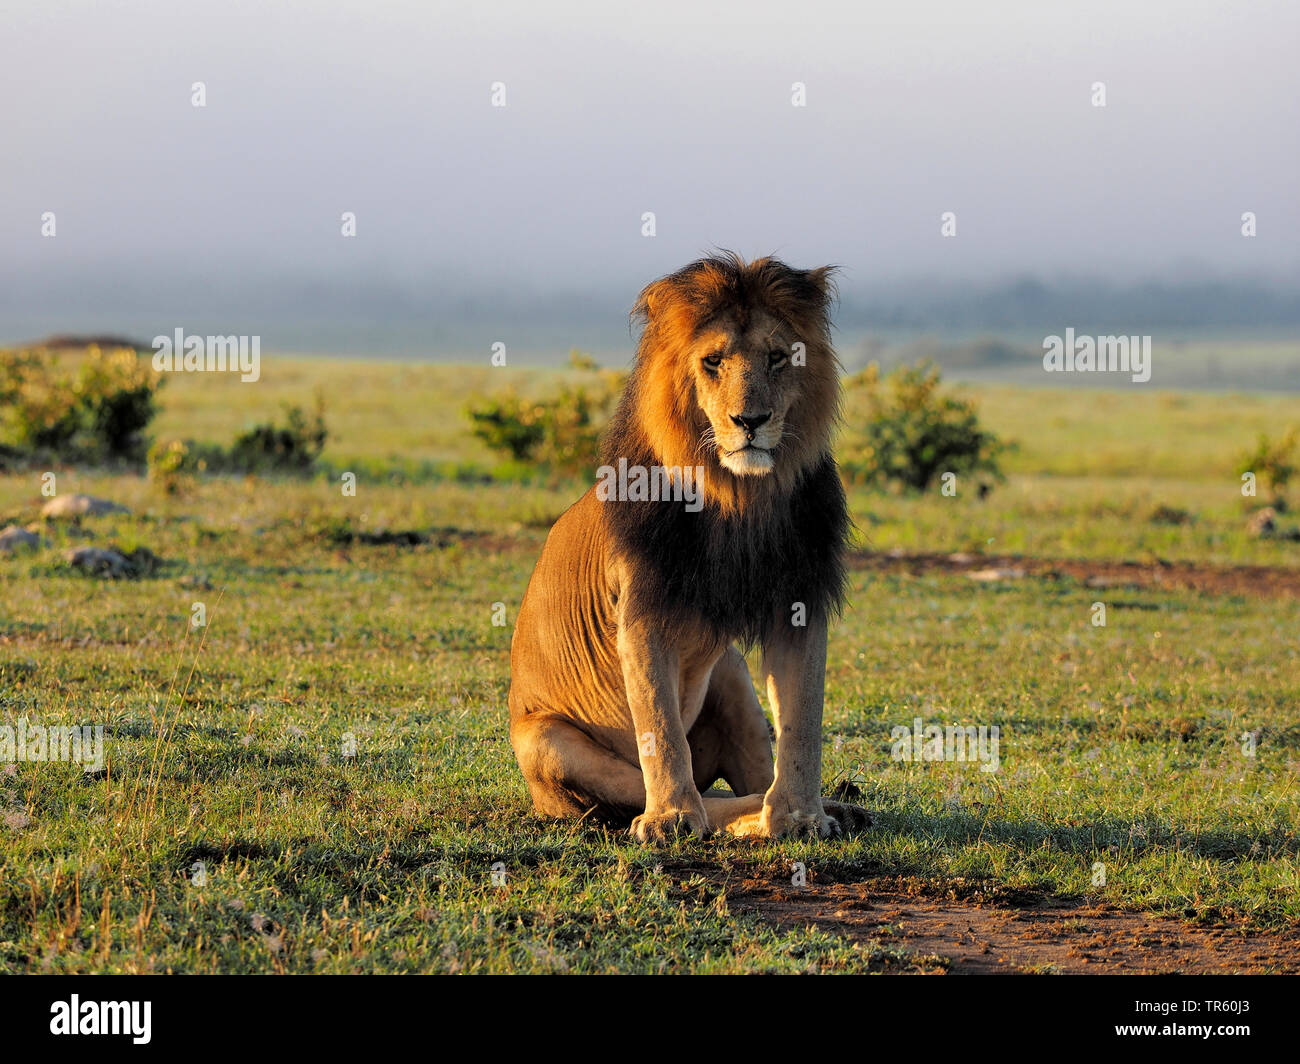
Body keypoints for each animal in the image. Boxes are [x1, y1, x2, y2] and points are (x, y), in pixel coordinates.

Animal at [508, 253, 869, 842]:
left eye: (777, 358)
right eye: (713, 361)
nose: (750, 422)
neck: (739, 496)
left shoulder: (800, 599)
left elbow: (803, 721)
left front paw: (802, 816)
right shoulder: (641, 612)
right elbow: (660, 727)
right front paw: (670, 818)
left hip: (731, 672)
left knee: (750, 773)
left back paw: (817, 809)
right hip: (548, 742)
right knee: (689, 791)